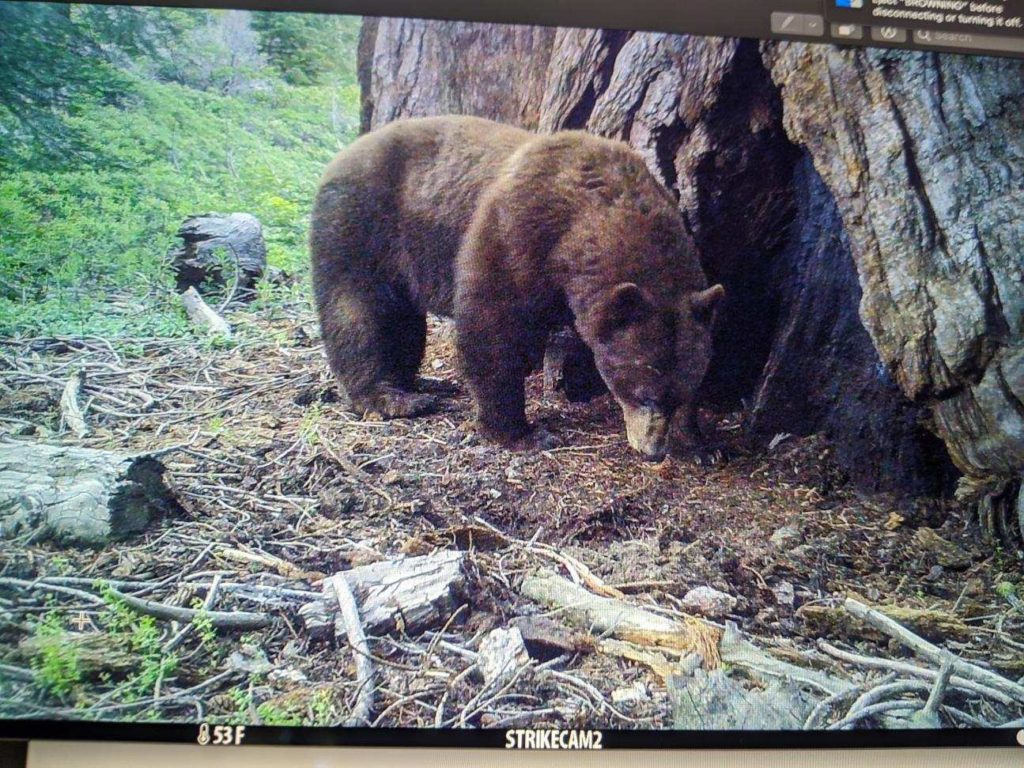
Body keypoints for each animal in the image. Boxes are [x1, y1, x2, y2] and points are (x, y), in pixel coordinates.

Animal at [310, 115, 724, 461]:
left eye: (678, 394)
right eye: (643, 393)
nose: (652, 450)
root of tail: (341, 155)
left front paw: (698, 444)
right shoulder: (519, 232)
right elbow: (491, 324)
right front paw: (520, 432)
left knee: (405, 324)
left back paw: (417, 383)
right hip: (359, 228)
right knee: (360, 315)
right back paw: (389, 397)